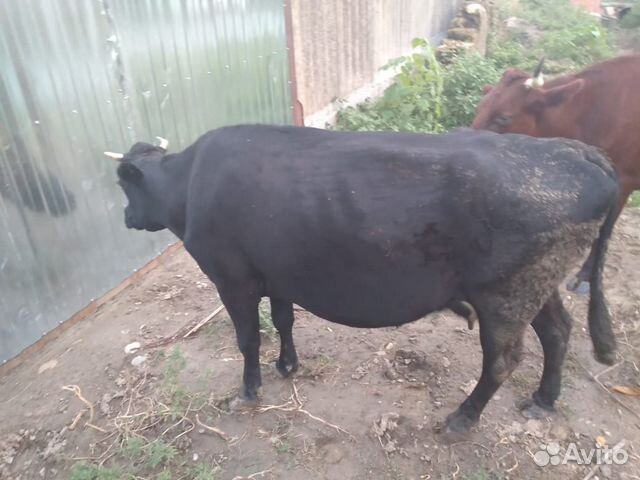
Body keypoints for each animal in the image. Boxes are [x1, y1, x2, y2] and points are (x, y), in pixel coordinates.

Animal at [108, 125, 617, 434]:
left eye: (124, 184)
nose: (127, 218)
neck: (189, 185)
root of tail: (572, 150)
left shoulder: (233, 280)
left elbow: (248, 339)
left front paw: (249, 392)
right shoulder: (278, 275)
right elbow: (284, 320)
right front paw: (287, 365)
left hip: (505, 298)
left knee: (502, 361)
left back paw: (462, 419)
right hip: (536, 289)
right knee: (558, 332)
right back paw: (544, 399)